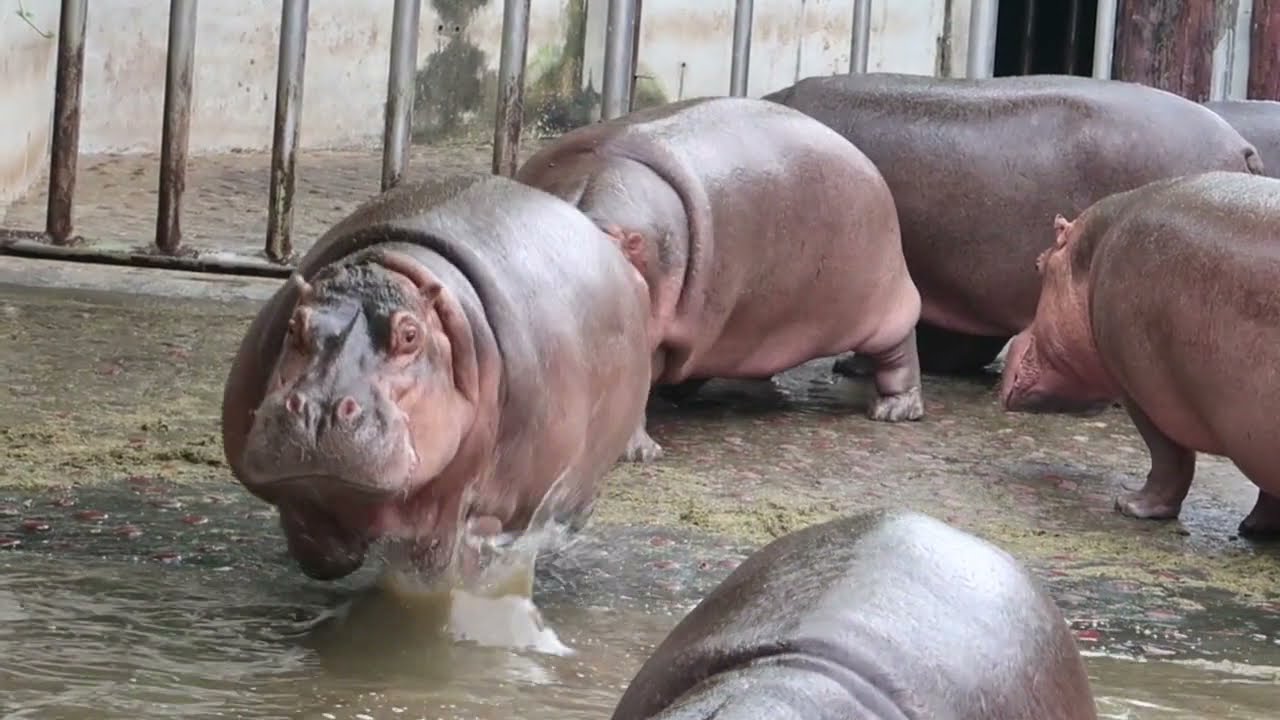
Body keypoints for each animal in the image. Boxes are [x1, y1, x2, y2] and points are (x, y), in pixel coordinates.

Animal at [220, 175, 653, 581]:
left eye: (411, 335)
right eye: (294, 326)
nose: (319, 411)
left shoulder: (487, 505)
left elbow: (444, 554)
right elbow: (313, 528)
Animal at [515, 96, 924, 459]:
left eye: (632, 243)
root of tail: (864, 159)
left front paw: (636, 453)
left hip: (884, 299)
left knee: (899, 350)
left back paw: (893, 410)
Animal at [1000, 171, 1280, 539]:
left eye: (1037, 265)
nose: (1012, 343)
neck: (1093, 252)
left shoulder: (1142, 391)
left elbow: (1168, 457)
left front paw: (1130, 505)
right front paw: (1255, 526)